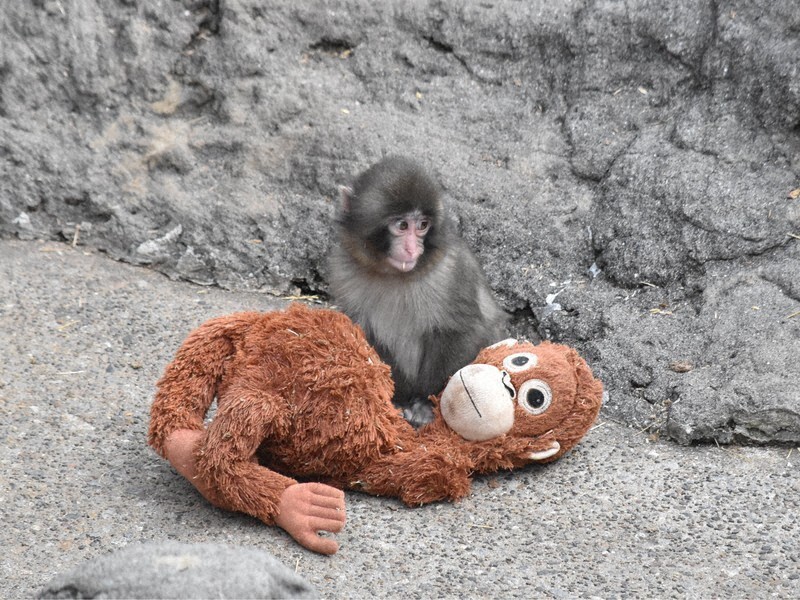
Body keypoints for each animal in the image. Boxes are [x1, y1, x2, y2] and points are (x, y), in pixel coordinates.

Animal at [328, 156, 506, 427]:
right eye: (402, 225)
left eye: (422, 225)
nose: (412, 249)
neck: (393, 275)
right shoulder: (343, 271)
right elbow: (364, 337)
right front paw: (397, 399)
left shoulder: (451, 270)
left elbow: (463, 330)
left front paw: (424, 403)